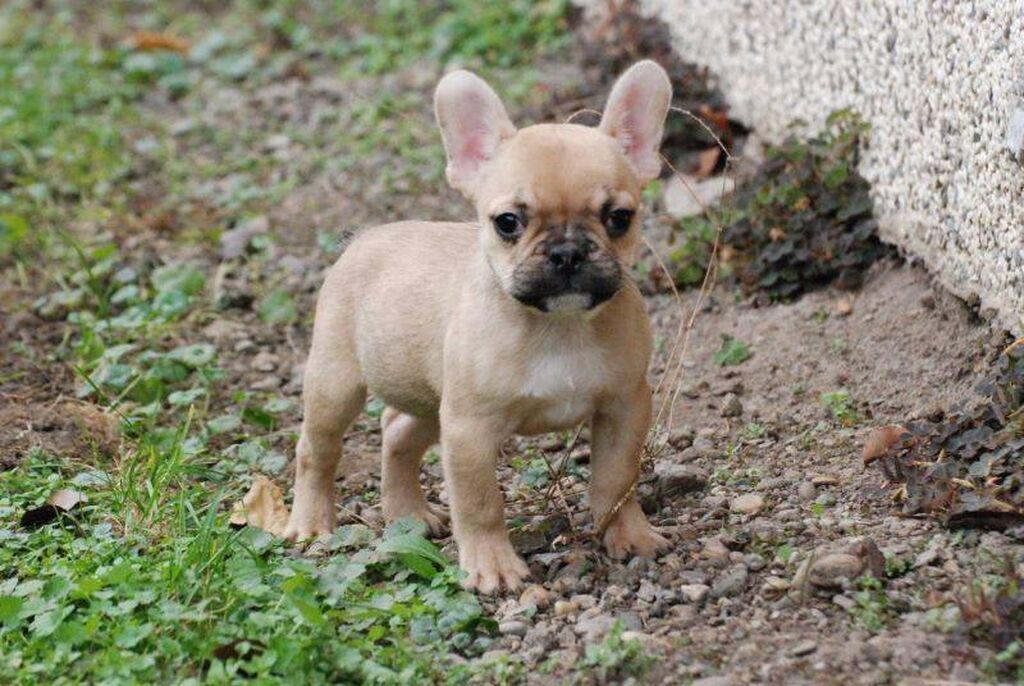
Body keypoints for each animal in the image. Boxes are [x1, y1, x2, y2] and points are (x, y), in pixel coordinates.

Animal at [286, 61, 671, 593]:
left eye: (619, 217)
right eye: (507, 222)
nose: (567, 252)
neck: (560, 324)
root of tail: (363, 237)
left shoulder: (624, 406)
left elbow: (617, 481)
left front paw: (629, 535)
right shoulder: (469, 430)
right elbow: (480, 503)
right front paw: (493, 566)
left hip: (428, 396)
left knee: (397, 431)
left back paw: (408, 514)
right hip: (337, 383)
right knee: (316, 450)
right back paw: (310, 521)